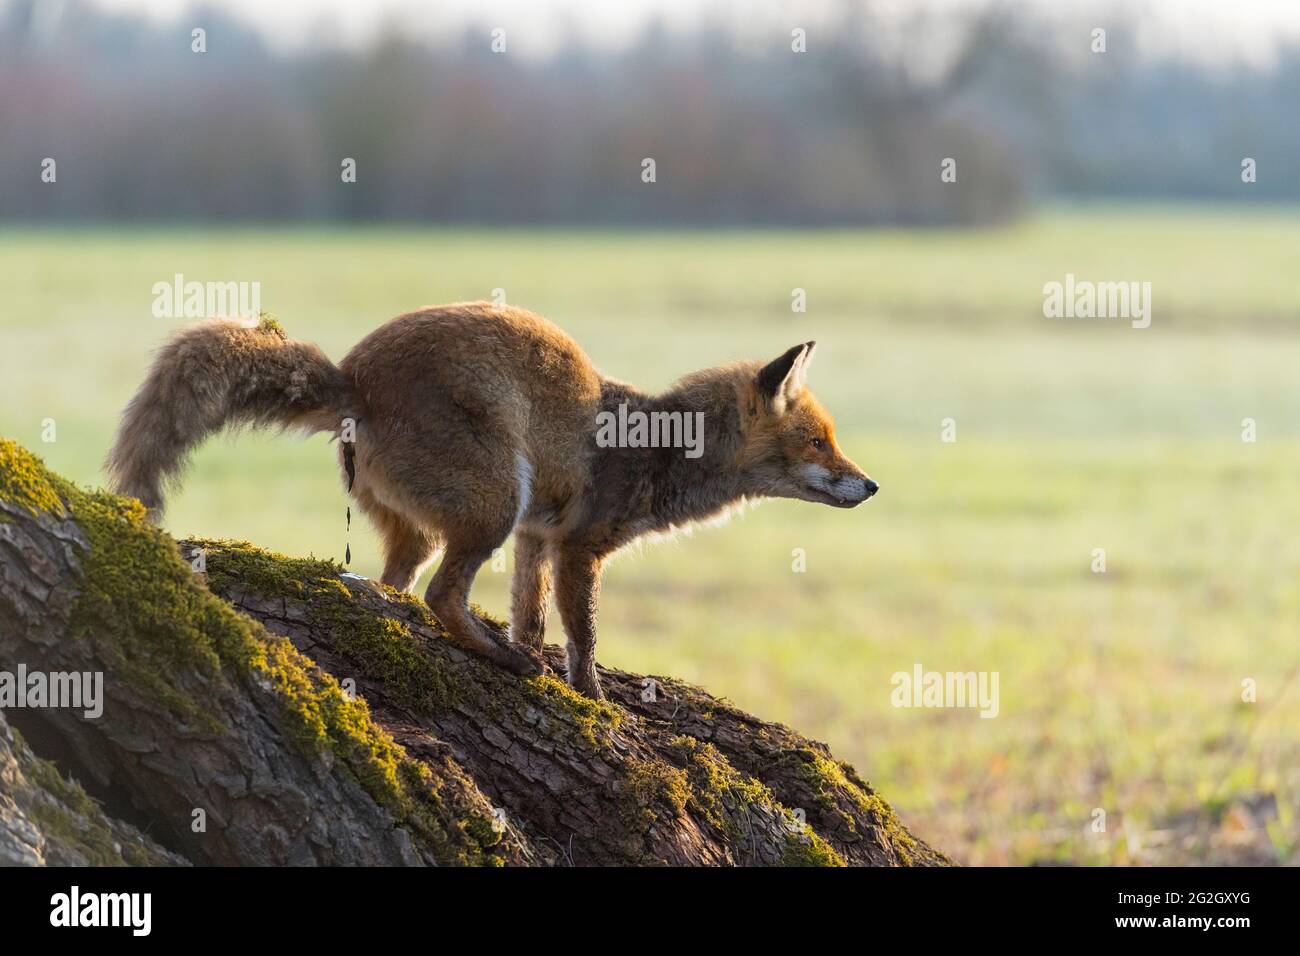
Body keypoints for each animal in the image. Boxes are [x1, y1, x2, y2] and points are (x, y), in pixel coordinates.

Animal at [106, 302, 878, 698]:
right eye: (817, 443)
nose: (871, 486)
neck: (654, 448)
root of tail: (354, 377)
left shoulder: (537, 538)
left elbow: (531, 616)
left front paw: (536, 656)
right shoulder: (577, 549)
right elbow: (583, 638)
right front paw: (592, 701)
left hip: (434, 528)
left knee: (398, 585)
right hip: (494, 504)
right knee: (440, 597)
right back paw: (494, 659)